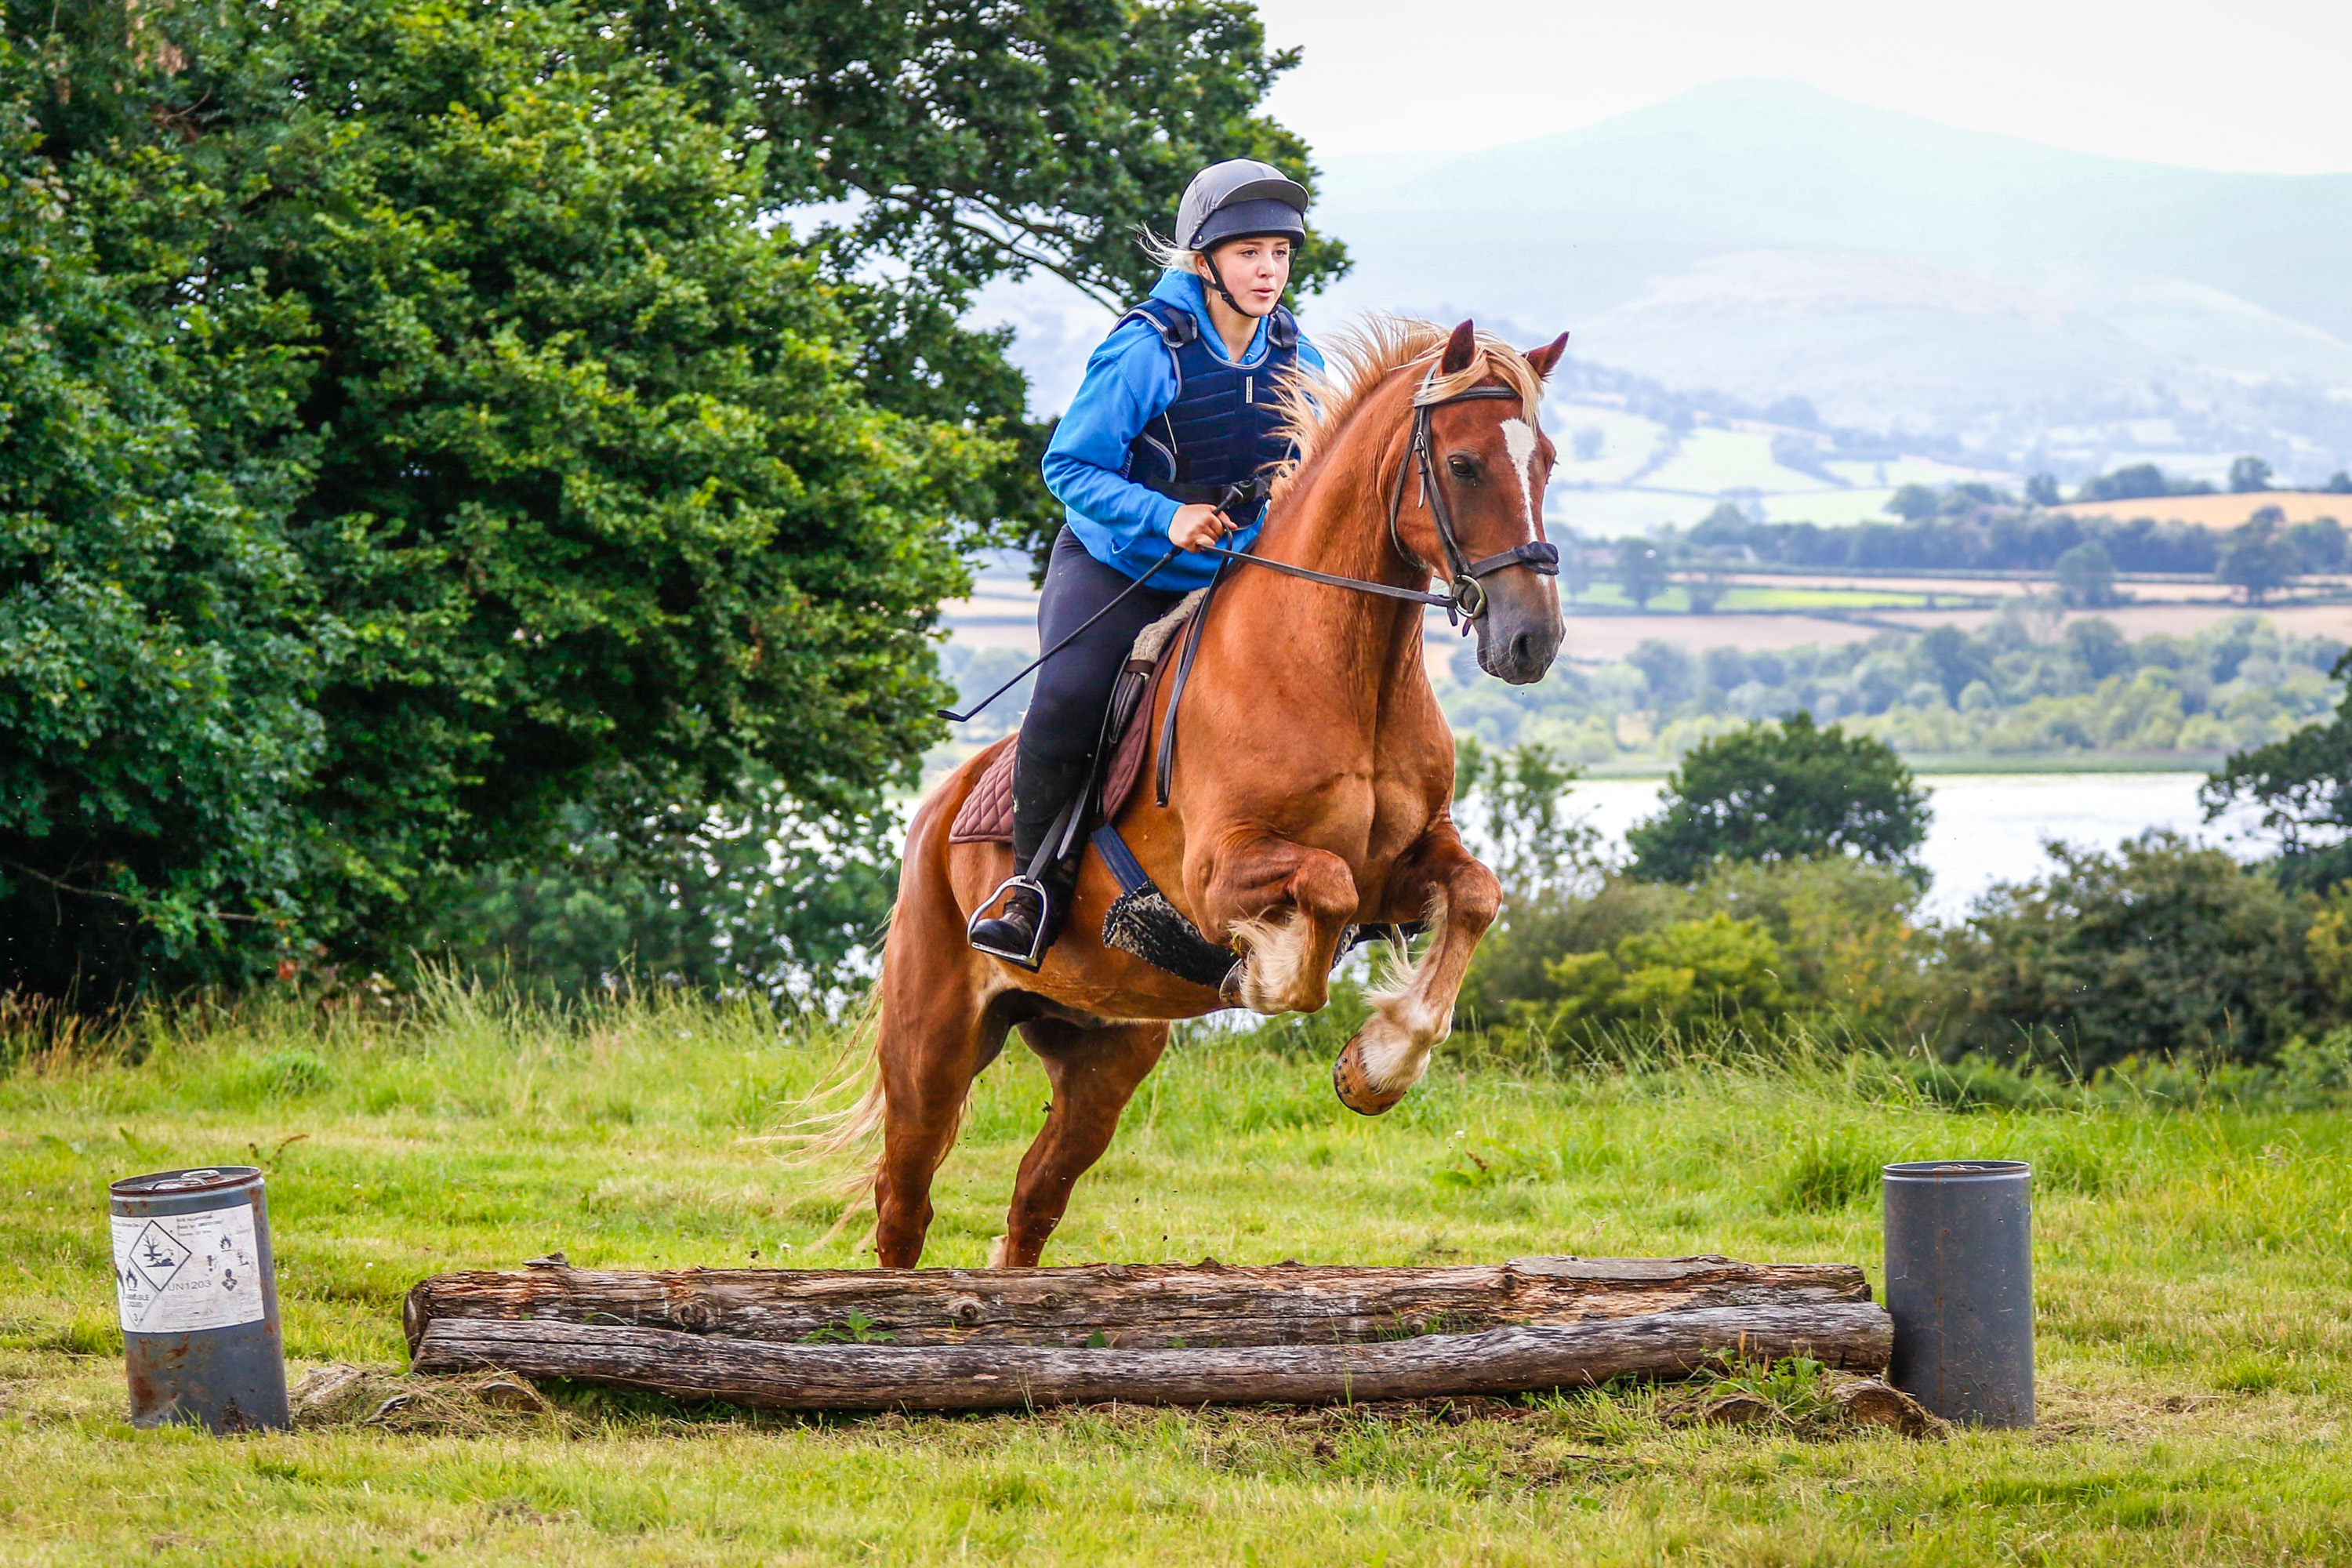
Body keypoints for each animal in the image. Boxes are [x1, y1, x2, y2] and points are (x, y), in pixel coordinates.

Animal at [829, 316, 1568, 1269]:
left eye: (1545, 459)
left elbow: (1475, 892)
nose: (1533, 640)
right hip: (934, 1041)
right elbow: (1321, 896)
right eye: (1467, 464)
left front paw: (1375, 1066)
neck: (1340, 667)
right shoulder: (1219, 874)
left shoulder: (1409, 866)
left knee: (1036, 1195)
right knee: (904, 1197)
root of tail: (937, 805)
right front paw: (1264, 974)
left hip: (1101, 1047)